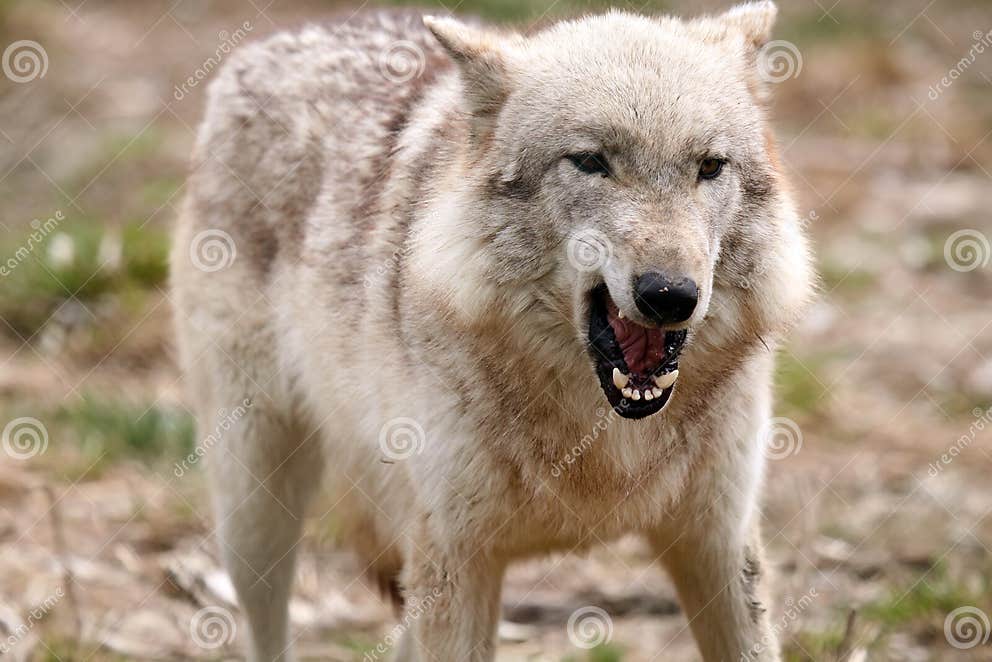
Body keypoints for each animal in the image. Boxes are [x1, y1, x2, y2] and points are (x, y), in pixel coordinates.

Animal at [171, 2, 813, 660]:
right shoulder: (457, 563)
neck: (604, 445)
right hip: (255, 508)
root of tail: (288, 36)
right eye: (590, 162)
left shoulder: (719, 544)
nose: (670, 296)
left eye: (710, 167)